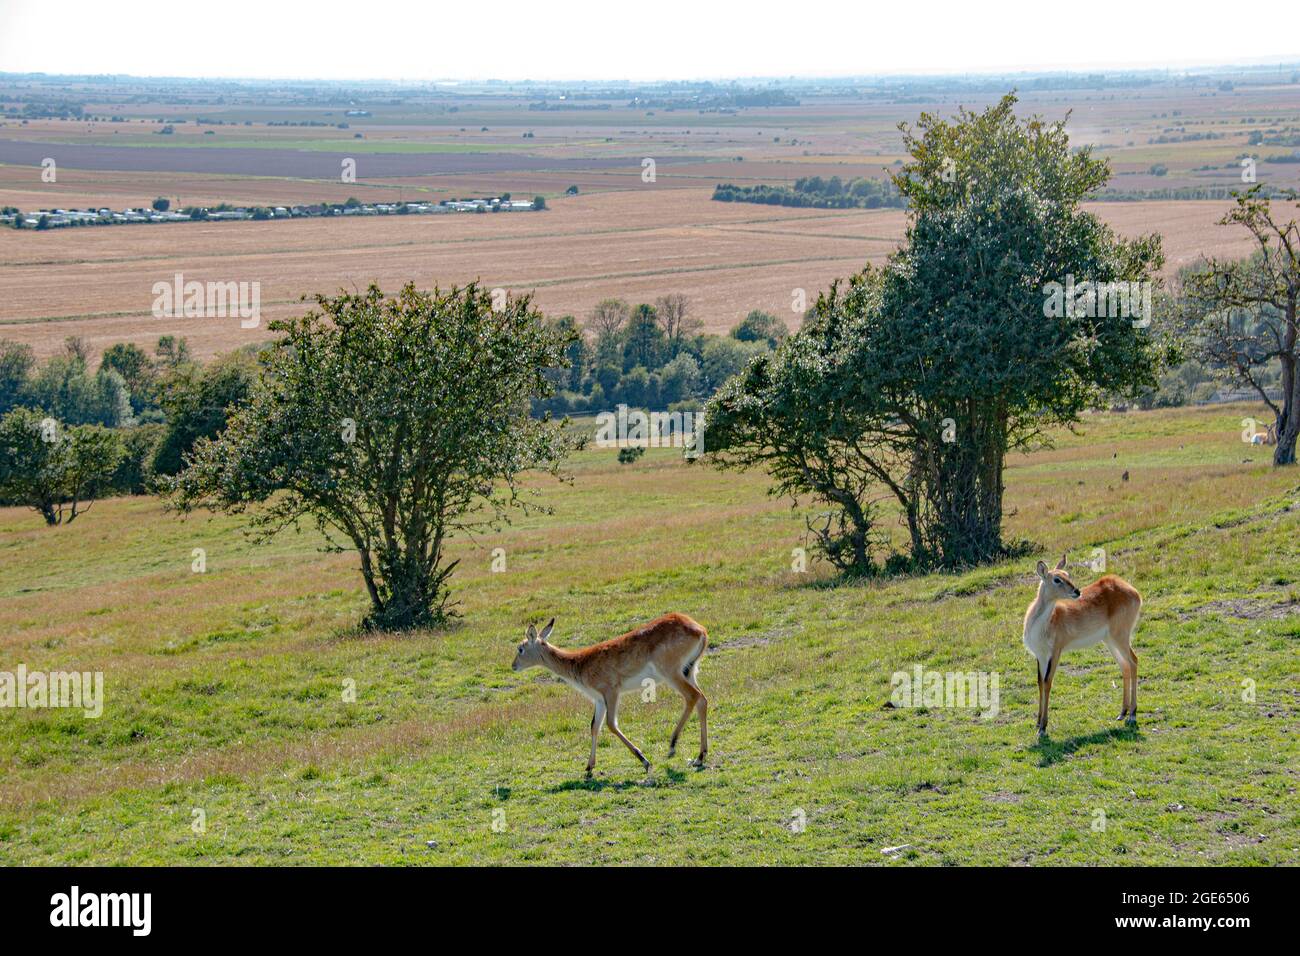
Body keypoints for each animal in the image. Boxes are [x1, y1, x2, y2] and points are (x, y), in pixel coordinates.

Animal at [512, 613, 708, 777]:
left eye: (520, 648)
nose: (513, 666)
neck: (580, 663)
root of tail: (700, 630)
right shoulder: (599, 699)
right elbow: (594, 726)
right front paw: (589, 767)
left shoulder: (612, 691)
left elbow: (611, 724)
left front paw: (645, 761)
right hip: (689, 671)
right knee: (702, 699)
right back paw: (699, 757)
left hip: (672, 673)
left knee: (692, 697)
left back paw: (673, 746)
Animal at [1022, 554, 1142, 737]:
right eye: (1057, 579)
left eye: (1067, 574)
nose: (1077, 591)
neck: (1041, 624)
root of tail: (1133, 591)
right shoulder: (1040, 655)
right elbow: (1040, 682)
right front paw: (1037, 722)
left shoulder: (1055, 652)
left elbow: (1048, 682)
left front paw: (1043, 727)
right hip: (1110, 640)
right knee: (1125, 665)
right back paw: (1122, 712)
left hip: (1120, 636)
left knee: (1134, 661)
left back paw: (1133, 715)